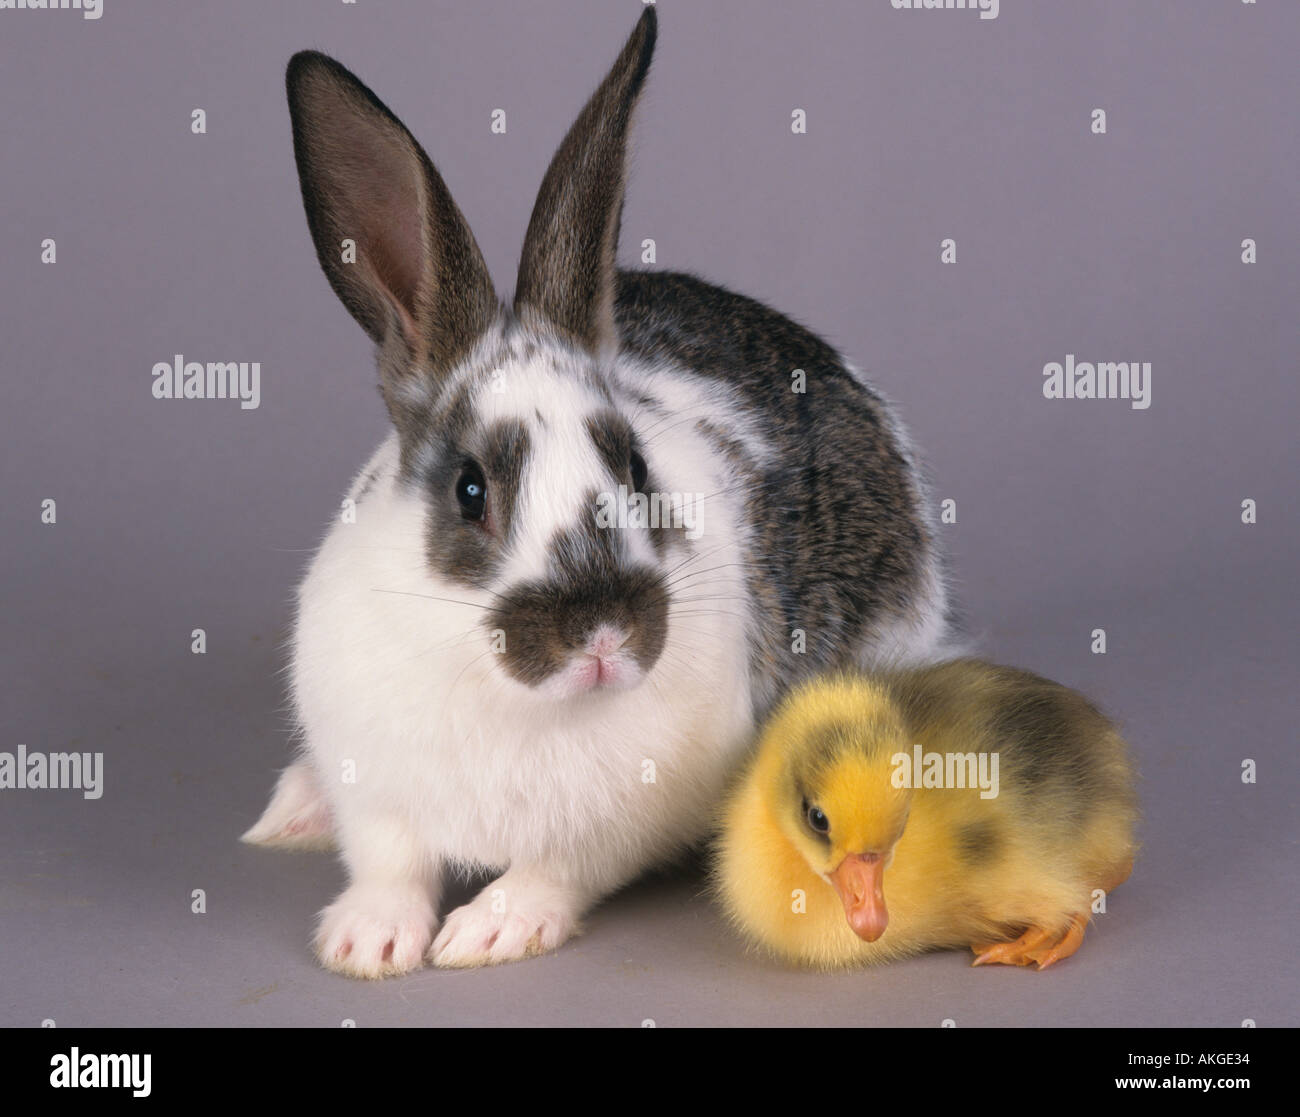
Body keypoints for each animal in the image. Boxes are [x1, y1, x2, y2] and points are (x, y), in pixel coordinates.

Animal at [243, 7, 961, 977]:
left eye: (634, 468)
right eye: (470, 489)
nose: (603, 632)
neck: (520, 705)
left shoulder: (623, 823)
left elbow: (559, 868)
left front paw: (491, 929)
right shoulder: (377, 788)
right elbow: (391, 860)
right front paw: (369, 939)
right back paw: (293, 810)